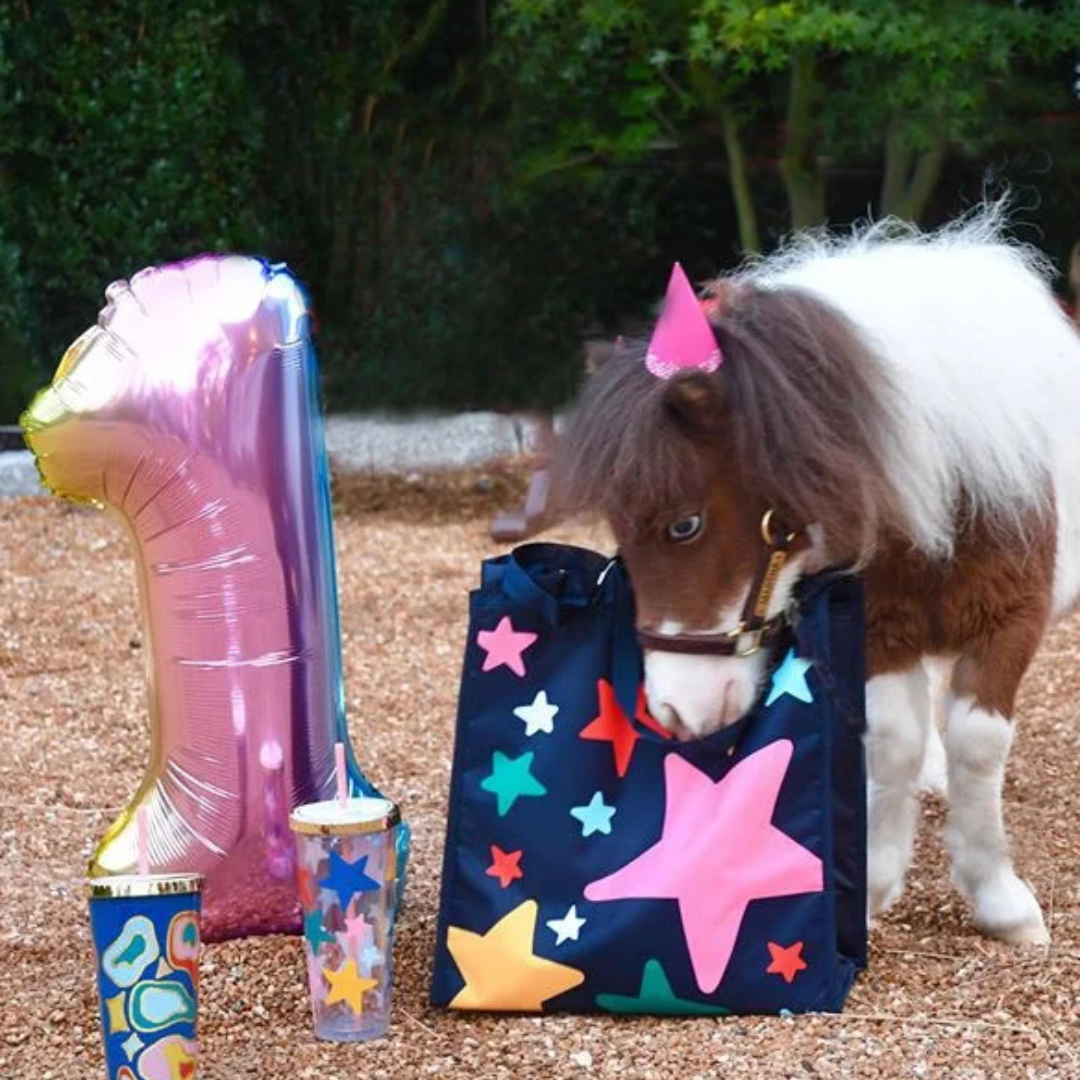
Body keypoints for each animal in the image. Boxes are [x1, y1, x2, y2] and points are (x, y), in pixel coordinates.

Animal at [552, 208, 1080, 947]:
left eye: (684, 525)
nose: (674, 713)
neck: (942, 479)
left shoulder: (1011, 622)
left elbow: (977, 743)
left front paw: (1003, 904)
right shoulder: (883, 631)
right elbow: (893, 740)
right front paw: (875, 883)